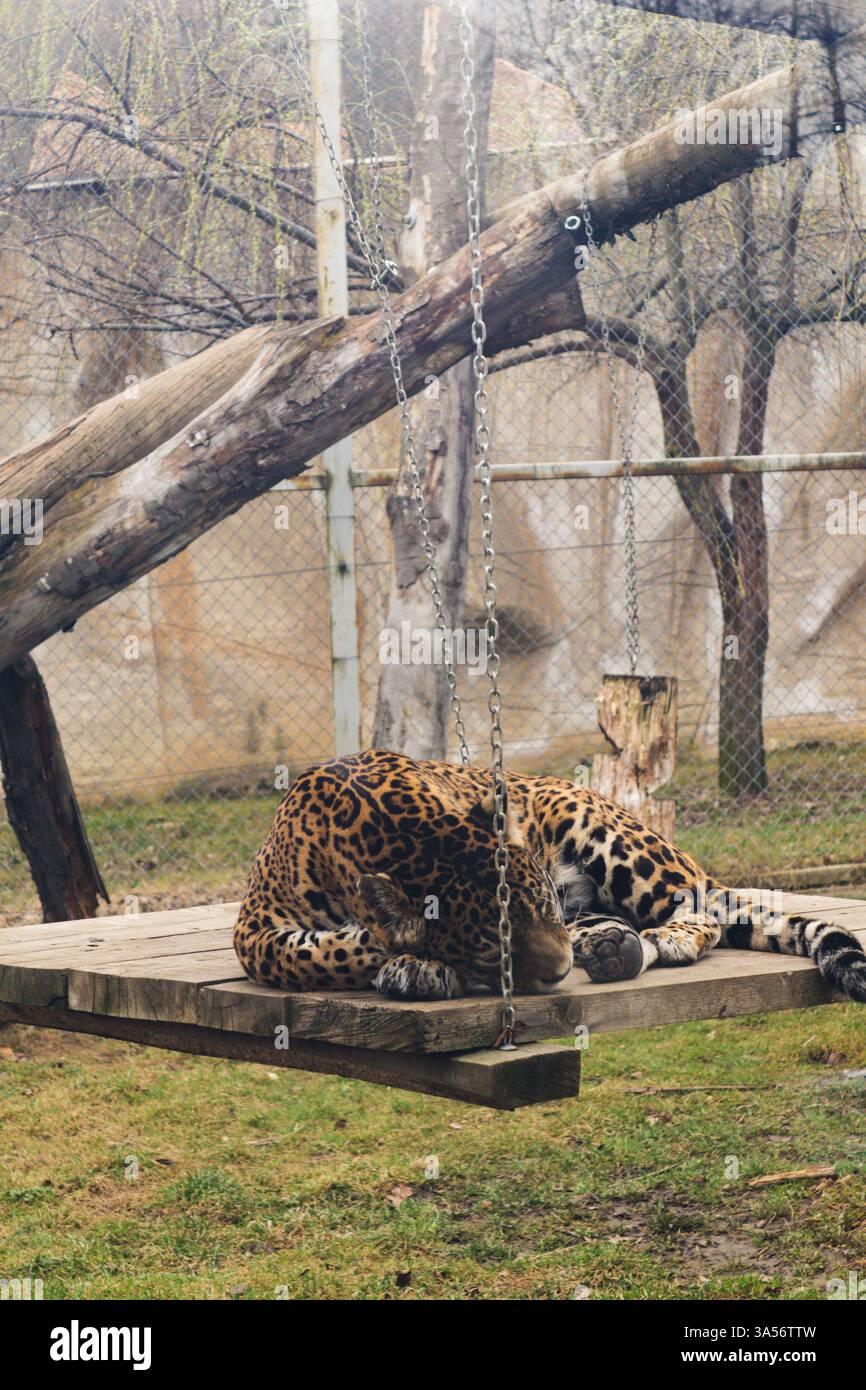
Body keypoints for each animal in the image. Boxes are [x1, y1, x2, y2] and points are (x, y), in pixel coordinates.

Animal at [233, 749, 866, 1004]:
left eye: (542, 905)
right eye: (491, 945)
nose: (559, 970)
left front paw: (410, 960)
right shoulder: (255, 931)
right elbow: (317, 954)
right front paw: (410, 960)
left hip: (602, 833)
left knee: (700, 908)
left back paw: (656, 941)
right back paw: (612, 945)